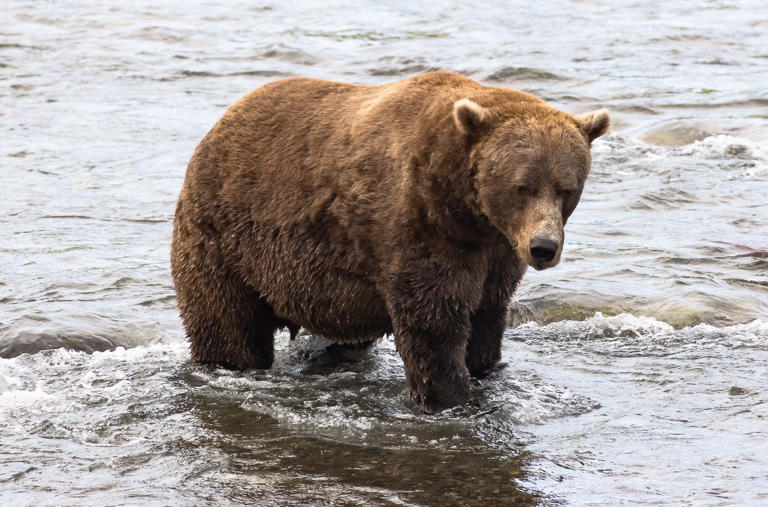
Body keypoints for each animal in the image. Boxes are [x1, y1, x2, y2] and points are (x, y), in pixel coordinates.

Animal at [171, 72, 609, 413]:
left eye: (566, 189)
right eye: (523, 186)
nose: (543, 247)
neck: (468, 211)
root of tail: (221, 123)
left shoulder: (496, 254)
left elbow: (486, 317)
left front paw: (484, 370)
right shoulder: (420, 227)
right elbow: (434, 322)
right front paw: (451, 398)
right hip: (226, 239)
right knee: (227, 323)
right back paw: (229, 364)